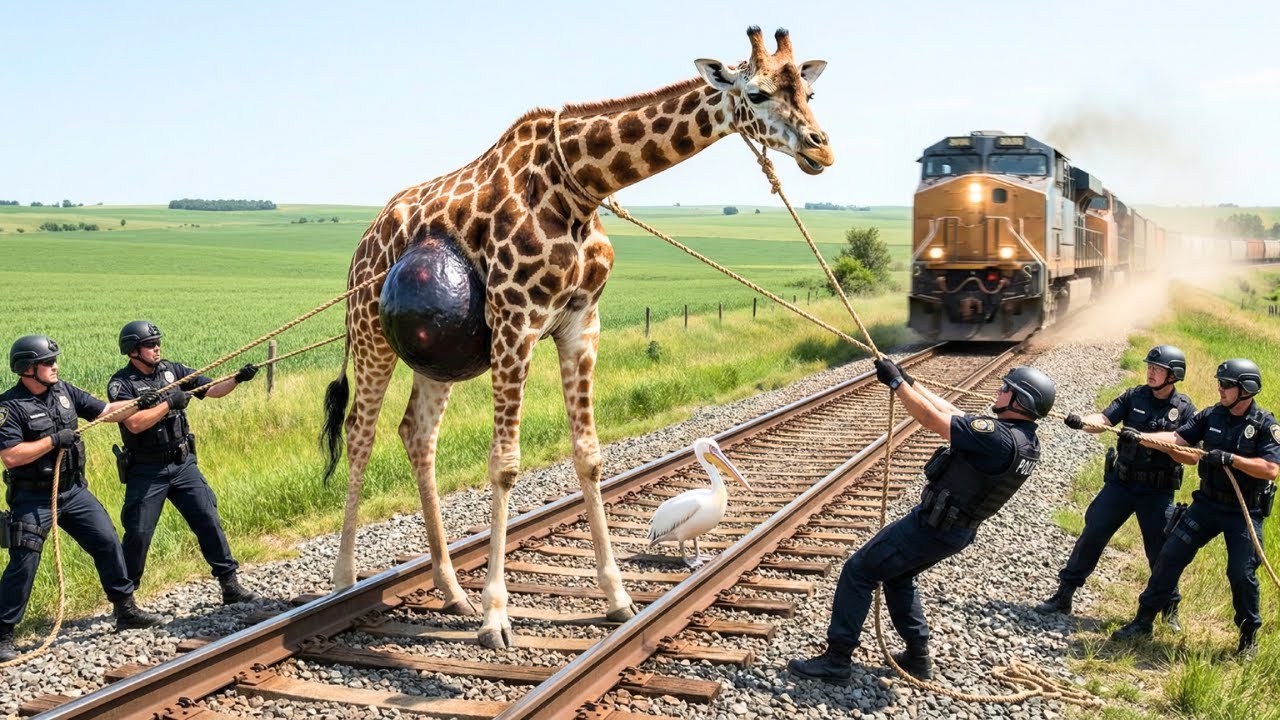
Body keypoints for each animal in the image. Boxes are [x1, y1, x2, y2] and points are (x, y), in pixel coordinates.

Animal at [320, 26, 833, 649]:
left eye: (807, 90)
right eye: (756, 93)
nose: (821, 149)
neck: (579, 188)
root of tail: (362, 241)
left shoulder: (580, 322)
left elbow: (589, 456)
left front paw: (617, 599)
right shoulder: (515, 318)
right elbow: (505, 463)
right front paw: (497, 617)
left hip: (435, 359)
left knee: (417, 434)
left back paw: (451, 590)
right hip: (370, 329)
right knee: (360, 432)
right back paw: (345, 583)